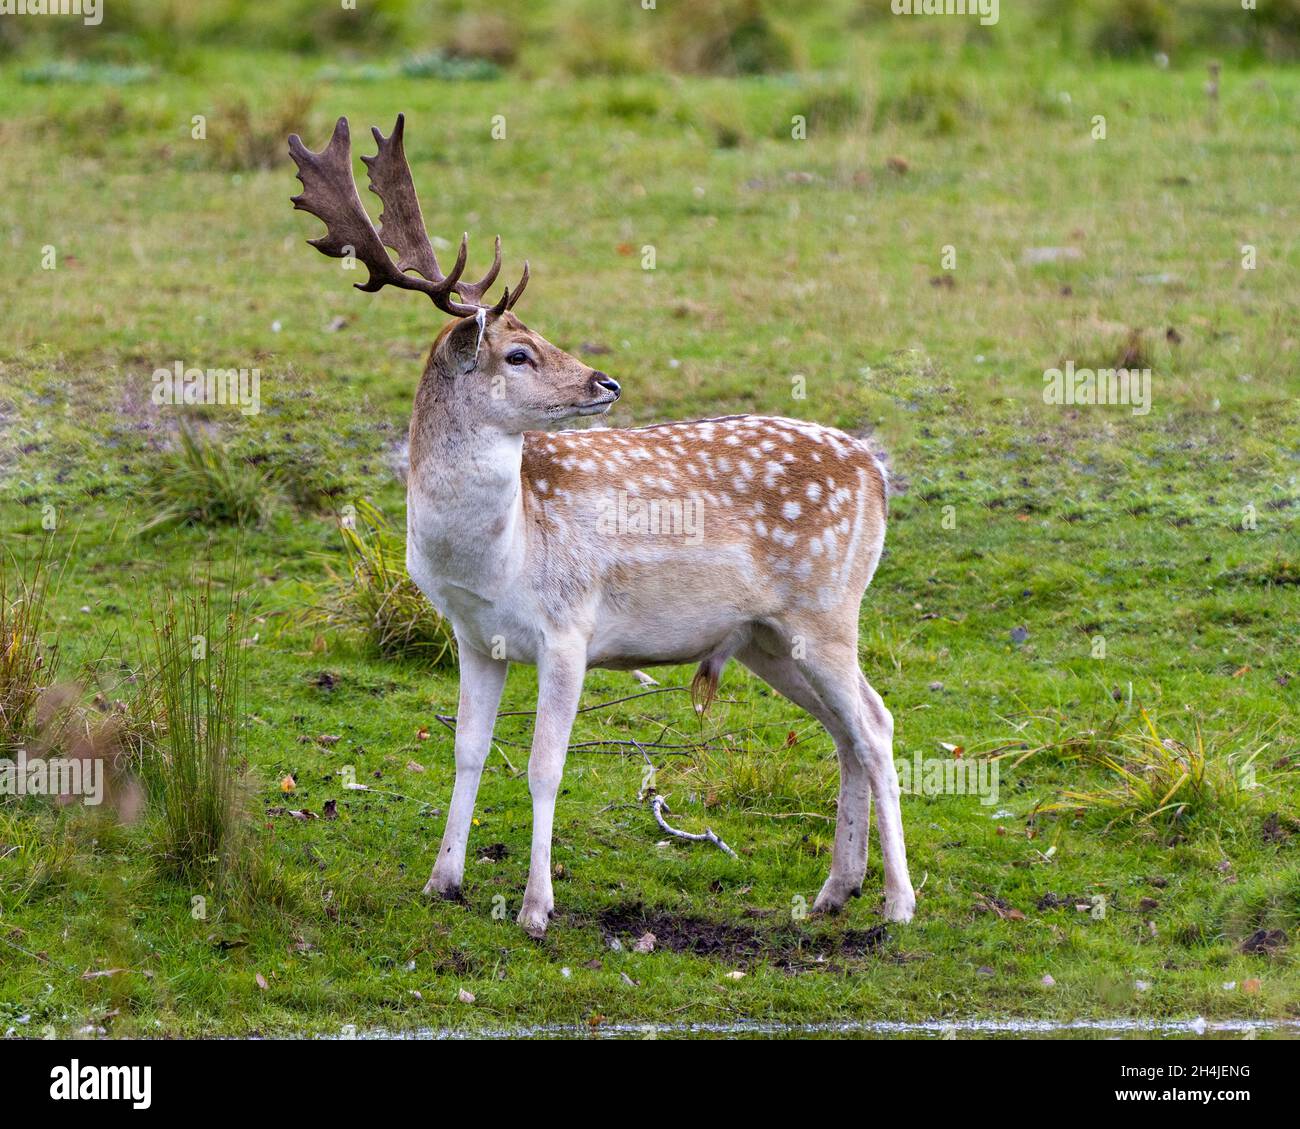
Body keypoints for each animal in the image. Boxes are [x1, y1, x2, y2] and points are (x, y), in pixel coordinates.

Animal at [289, 115, 915, 937]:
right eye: (518, 353)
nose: (605, 381)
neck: (497, 554)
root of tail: (875, 469)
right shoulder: (474, 637)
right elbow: (468, 750)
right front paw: (442, 879)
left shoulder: (569, 627)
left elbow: (544, 764)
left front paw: (535, 908)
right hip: (767, 637)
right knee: (845, 731)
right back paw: (834, 890)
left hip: (827, 606)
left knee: (875, 724)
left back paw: (899, 903)